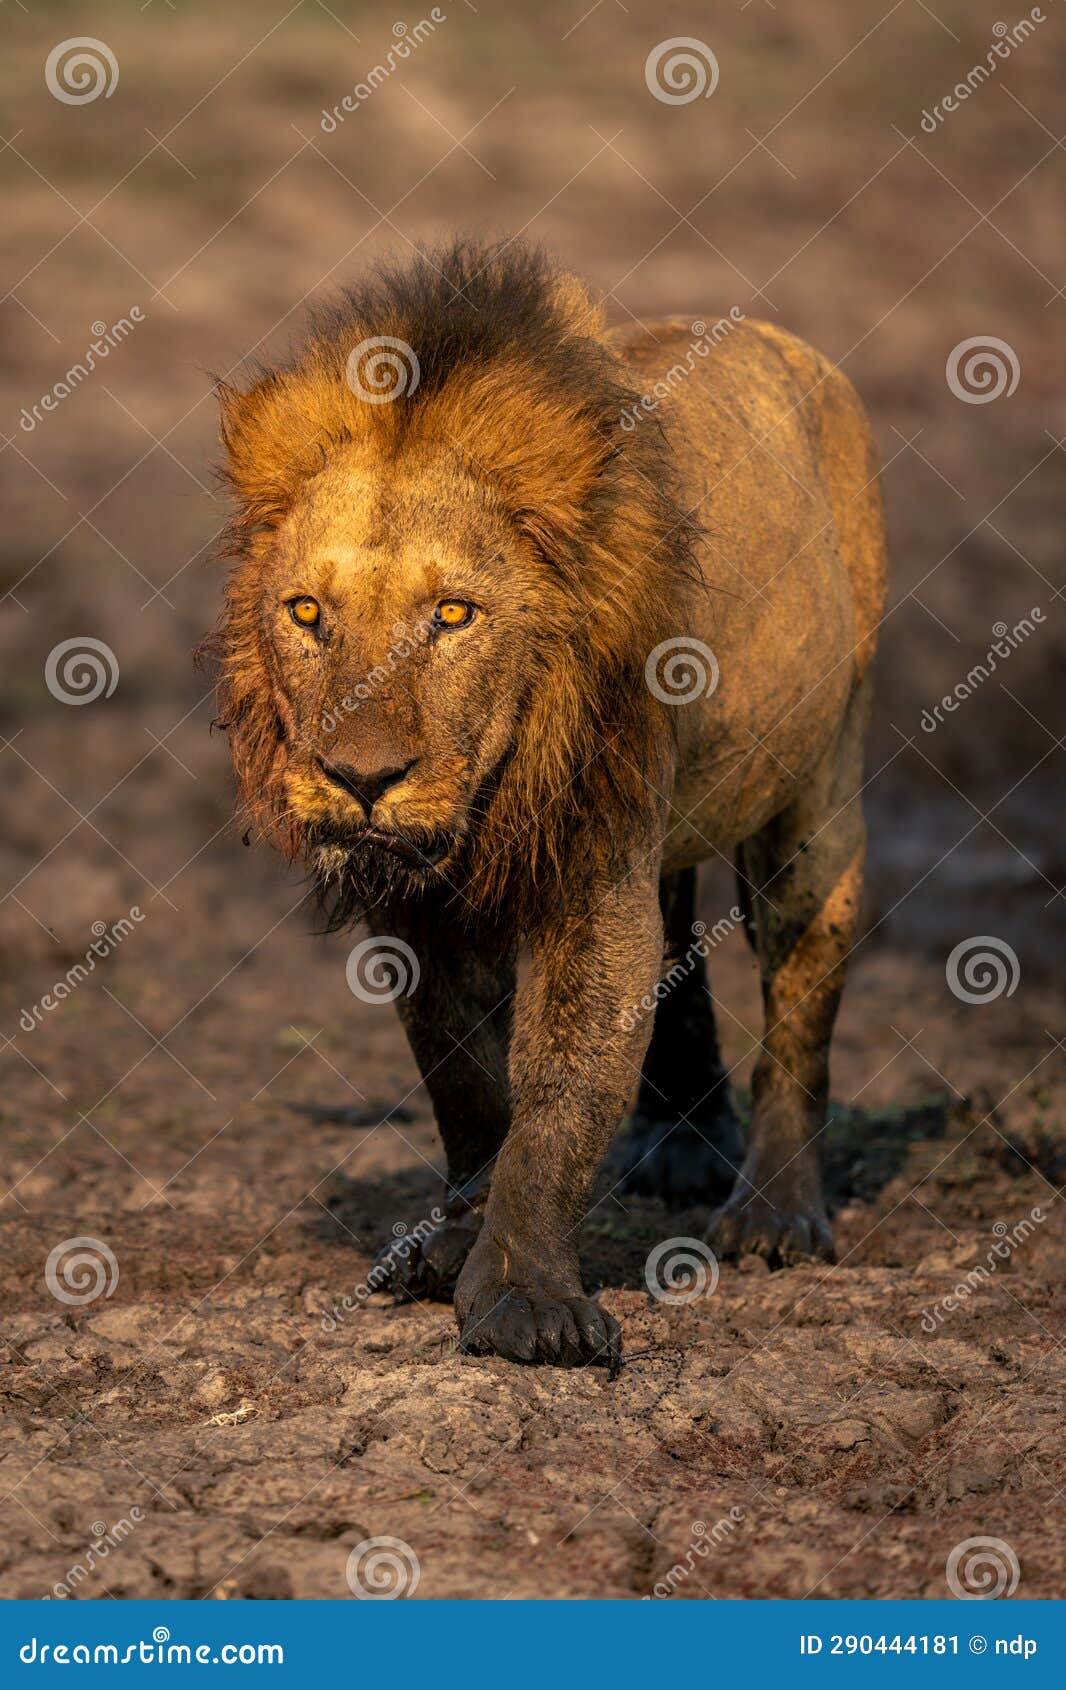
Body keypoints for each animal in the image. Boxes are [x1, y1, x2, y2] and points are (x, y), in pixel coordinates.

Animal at [210, 237, 886, 1372]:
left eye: (453, 615)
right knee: (680, 940)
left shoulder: (592, 864)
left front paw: (527, 1298)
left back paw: (776, 1213)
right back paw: (681, 1149)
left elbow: (563, 1087)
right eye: (306, 613)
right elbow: (465, 1077)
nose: (359, 779)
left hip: (820, 779)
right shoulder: (423, 904)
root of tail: (784, 341)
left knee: (801, 977)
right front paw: (453, 1244)